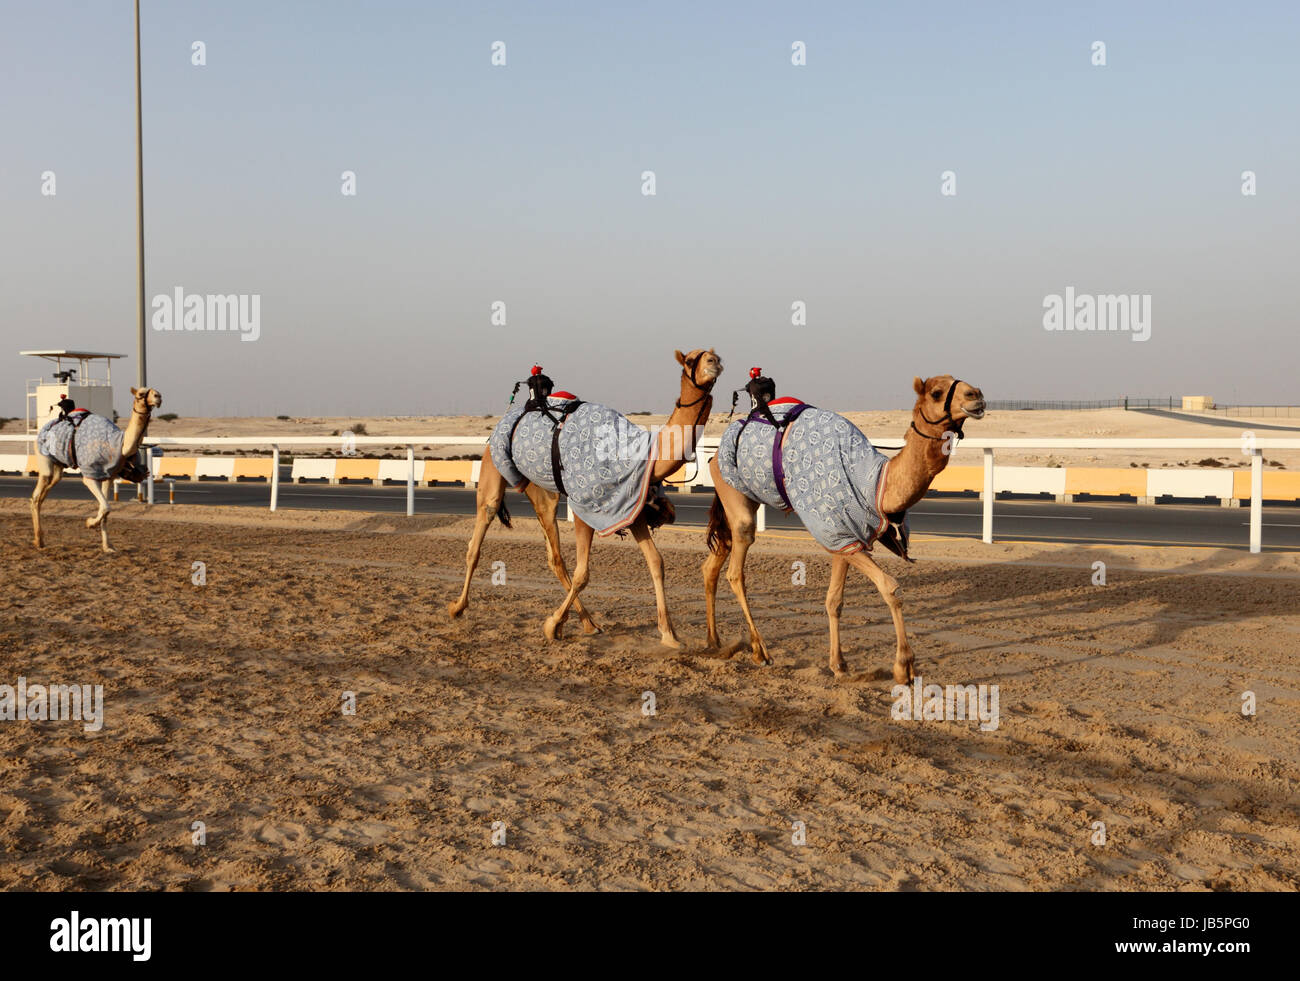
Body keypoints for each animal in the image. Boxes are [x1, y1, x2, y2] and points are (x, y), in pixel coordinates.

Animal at [31, 386, 163, 553]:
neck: (117, 443)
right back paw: (38, 541)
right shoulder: (90, 476)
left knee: (46, 491)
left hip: (59, 466)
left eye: (155, 392)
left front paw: (108, 547)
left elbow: (105, 510)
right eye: (141, 393)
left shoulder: (108, 476)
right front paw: (89, 523)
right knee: (36, 496)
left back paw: (40, 539)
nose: (158, 397)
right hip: (43, 457)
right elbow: (105, 507)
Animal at [449, 349, 723, 646]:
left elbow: (656, 563)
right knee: (478, 538)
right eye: (692, 359)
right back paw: (457, 607)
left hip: (541, 491)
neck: (642, 453)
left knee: (555, 557)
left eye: (713, 354)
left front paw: (670, 635)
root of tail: (507, 419)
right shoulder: (587, 508)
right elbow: (584, 573)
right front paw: (551, 625)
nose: (715, 362)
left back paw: (588, 623)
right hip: (493, 465)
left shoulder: (630, 506)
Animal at [703, 374, 985, 682]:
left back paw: (713, 642)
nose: (976, 395)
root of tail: (714, 455)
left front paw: (838, 664)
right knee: (735, 569)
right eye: (936, 392)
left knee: (714, 560)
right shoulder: (835, 529)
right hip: (733, 493)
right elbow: (890, 587)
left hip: (741, 498)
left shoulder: (845, 534)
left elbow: (834, 599)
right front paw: (904, 667)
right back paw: (759, 651)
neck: (876, 483)